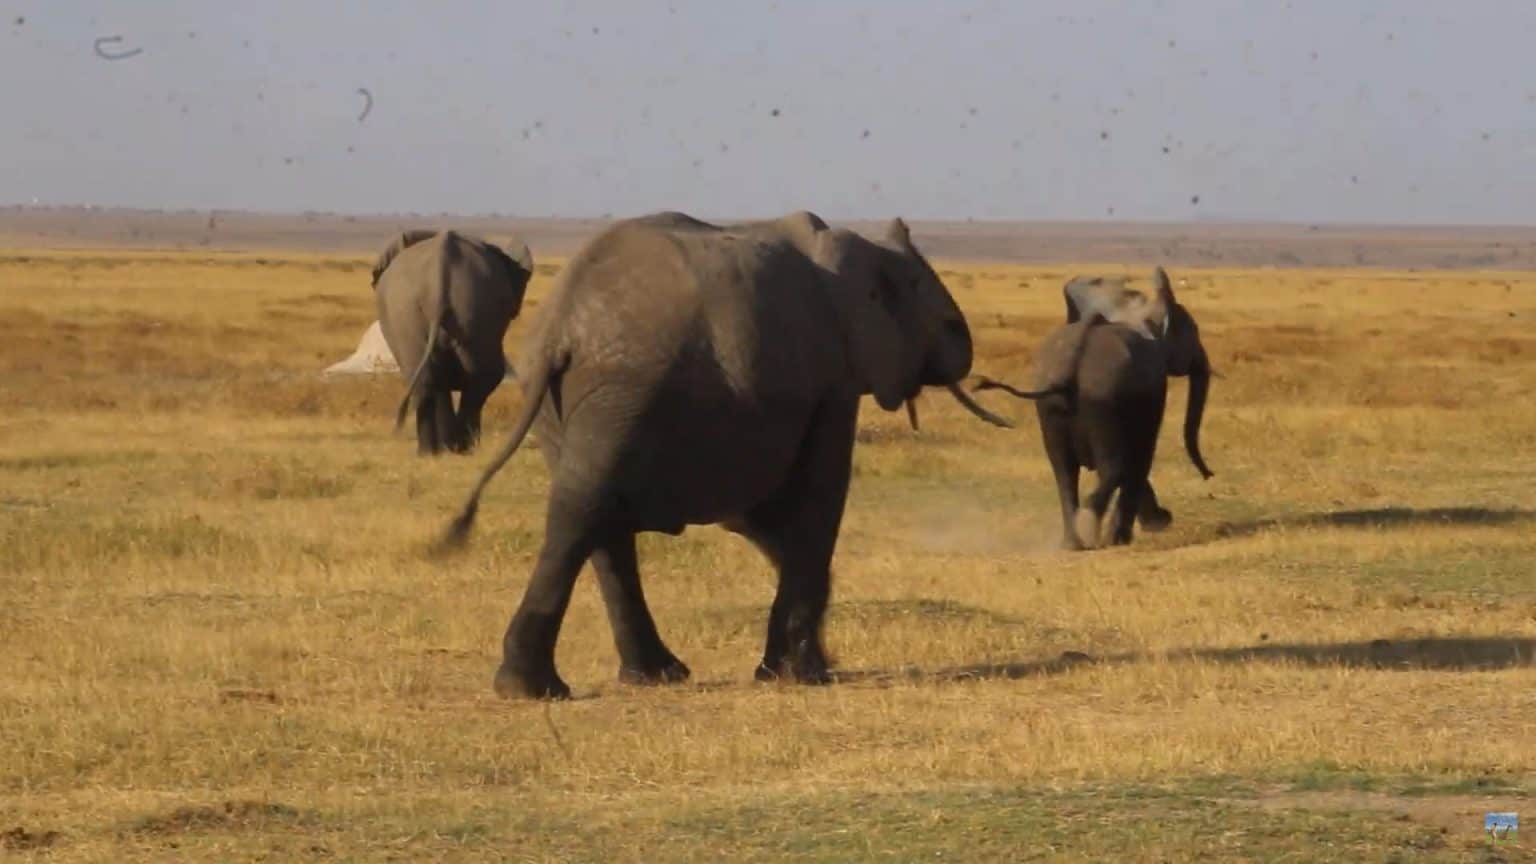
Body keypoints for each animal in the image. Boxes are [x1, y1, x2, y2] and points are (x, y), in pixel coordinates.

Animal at [370, 229, 535, 455]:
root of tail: (440, 274)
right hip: (463, 310)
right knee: (479, 378)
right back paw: (455, 449)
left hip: (422, 312)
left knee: (433, 379)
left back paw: (436, 451)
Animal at [439, 210, 1012, 699]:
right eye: (923, 298)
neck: (858, 247)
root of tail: (561, 327)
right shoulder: (832, 378)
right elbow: (819, 497)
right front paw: (802, 675)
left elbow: (767, 522)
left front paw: (795, 665)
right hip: (624, 388)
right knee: (584, 514)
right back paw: (540, 688)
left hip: (574, 405)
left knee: (595, 518)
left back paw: (637, 677)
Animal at [973, 267, 1213, 549]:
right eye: (1193, 330)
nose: (1209, 475)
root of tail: (1075, 356)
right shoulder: (1153, 388)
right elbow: (1141, 456)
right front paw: (1146, 528)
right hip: (1102, 396)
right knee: (1112, 467)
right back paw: (1089, 526)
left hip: (1052, 404)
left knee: (1064, 471)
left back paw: (1072, 543)